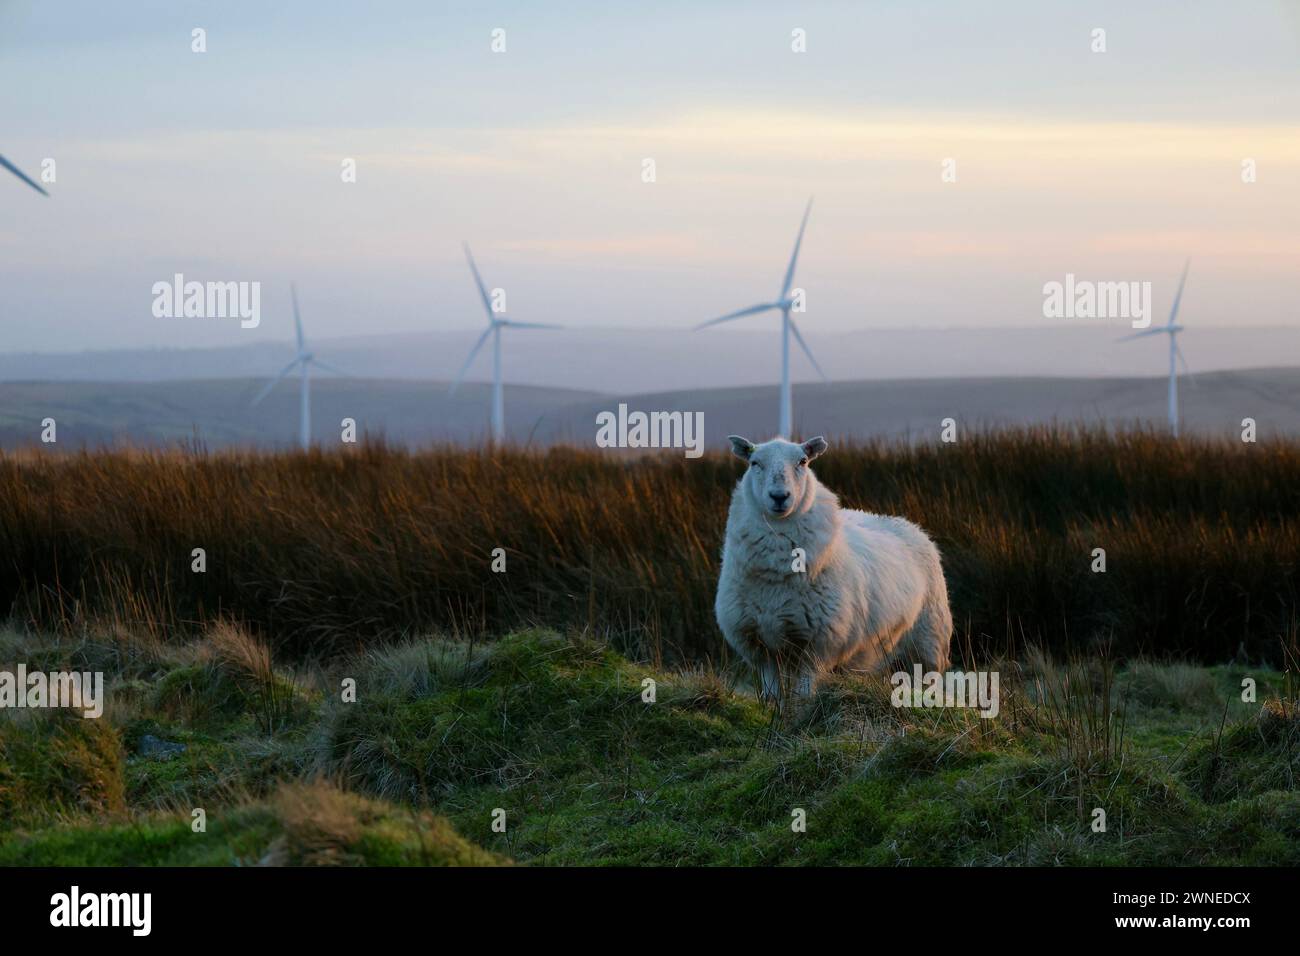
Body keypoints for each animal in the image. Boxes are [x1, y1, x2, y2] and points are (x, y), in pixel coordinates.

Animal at [714, 435, 952, 706]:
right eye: (754, 462)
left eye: (803, 461)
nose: (779, 496)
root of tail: (911, 526)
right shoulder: (760, 646)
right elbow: (773, 697)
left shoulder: (818, 645)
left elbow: (803, 695)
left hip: (928, 643)